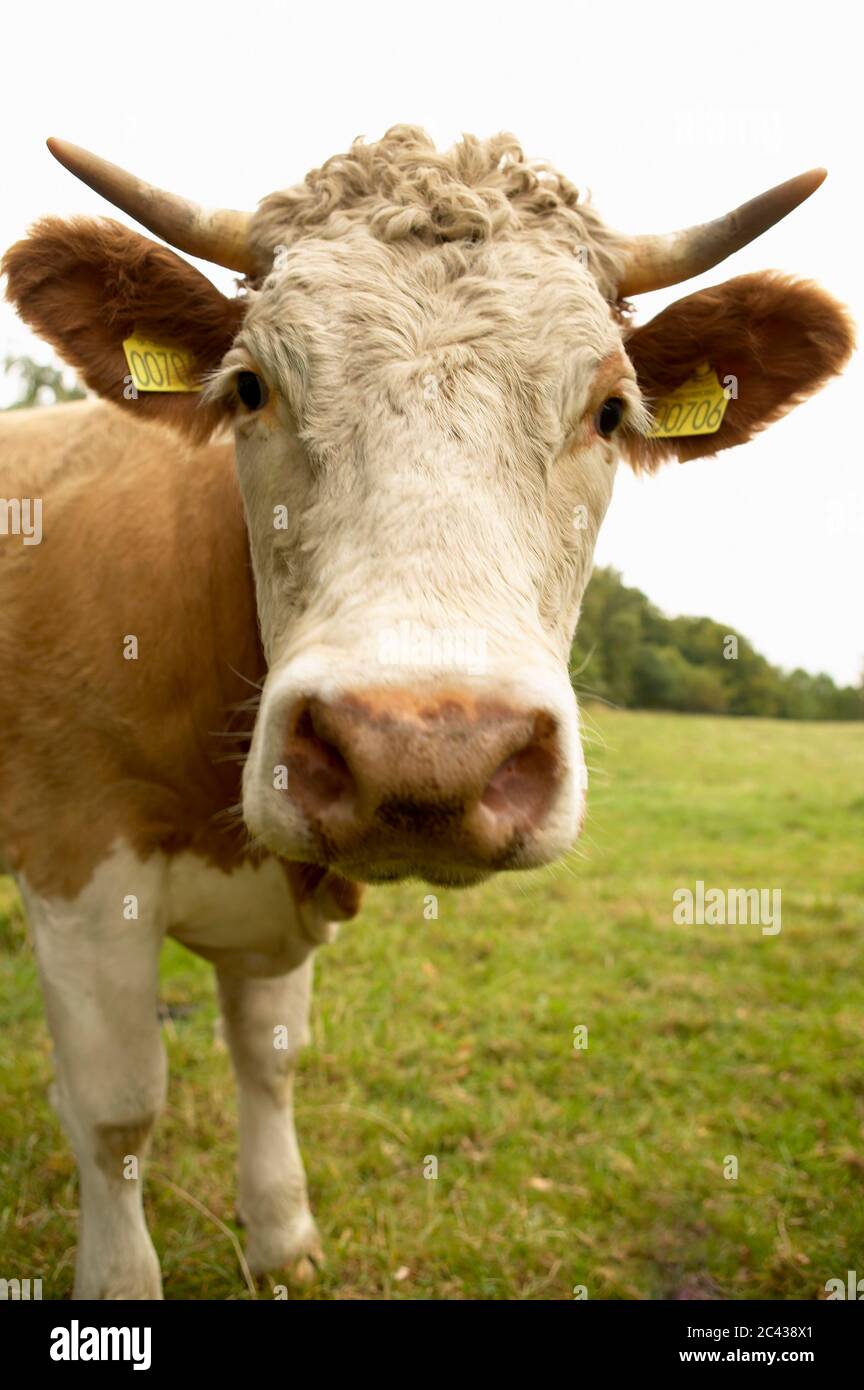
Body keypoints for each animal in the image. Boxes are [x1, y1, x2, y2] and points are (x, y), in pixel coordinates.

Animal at [0, 127, 852, 1299]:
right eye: (250, 388)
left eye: (609, 411)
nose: (422, 750)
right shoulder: (77, 863)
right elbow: (117, 1113)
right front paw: (120, 1283)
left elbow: (269, 1058)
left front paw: (283, 1235)